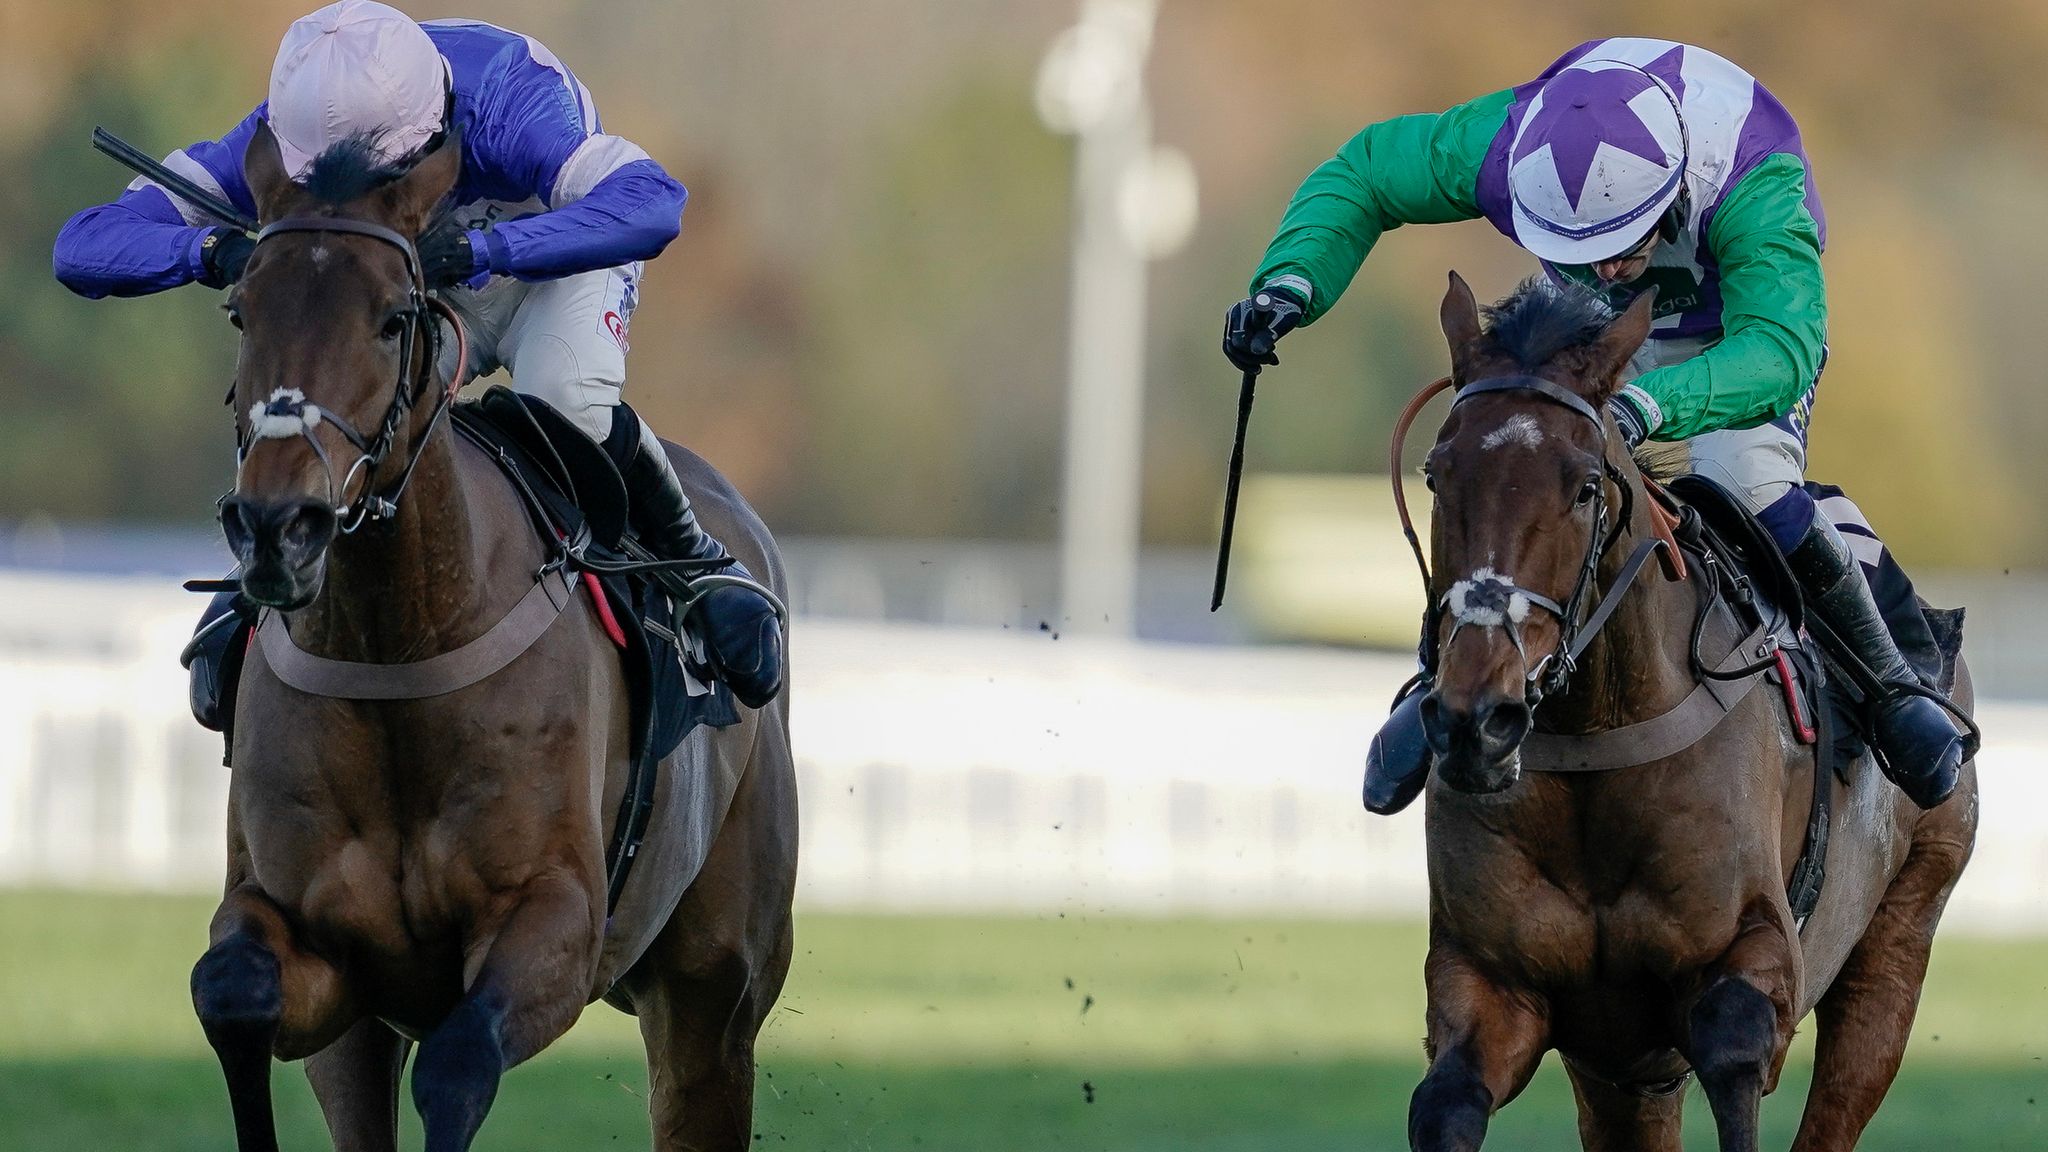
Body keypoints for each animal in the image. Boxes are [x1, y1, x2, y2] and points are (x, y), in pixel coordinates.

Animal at [190, 120, 796, 1152]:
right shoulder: (322, 952)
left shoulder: (556, 922)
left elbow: (461, 1064)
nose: (279, 527)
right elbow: (231, 990)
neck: (399, 645)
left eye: (394, 317)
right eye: (241, 310)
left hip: (715, 994)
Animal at [1400, 273, 1976, 1152]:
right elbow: (1445, 1101)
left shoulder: (1753, 959)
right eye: (1437, 474)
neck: (1598, 740)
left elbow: (1734, 1044)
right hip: (1623, 1071)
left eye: (1585, 485)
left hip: (1900, 938)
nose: (1476, 718)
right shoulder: (1494, 981)